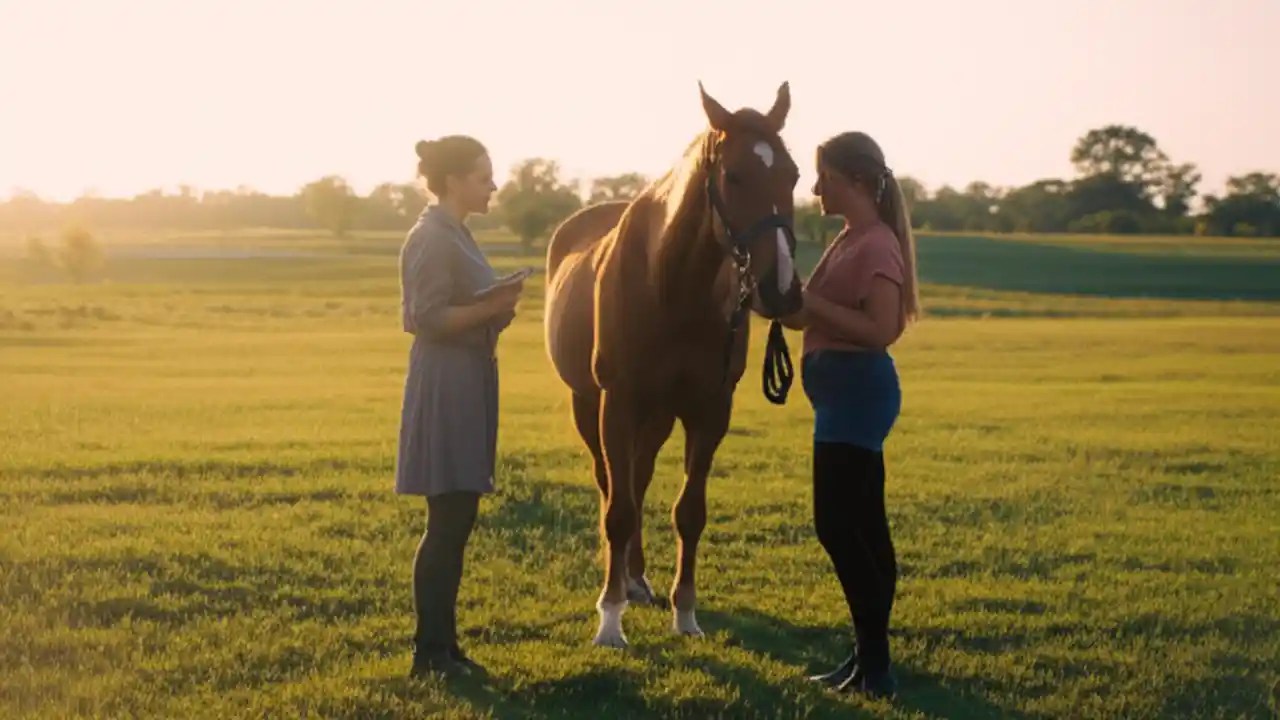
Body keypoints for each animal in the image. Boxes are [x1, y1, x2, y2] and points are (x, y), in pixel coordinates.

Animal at [543, 82, 804, 648]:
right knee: (612, 484)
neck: (672, 286)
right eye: (734, 175)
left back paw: (637, 579)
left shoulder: (709, 410)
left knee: (637, 480)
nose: (781, 291)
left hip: (658, 414)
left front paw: (685, 614)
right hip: (588, 405)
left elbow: (689, 511)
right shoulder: (617, 403)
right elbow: (617, 510)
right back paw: (622, 583)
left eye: (794, 175)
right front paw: (609, 620)